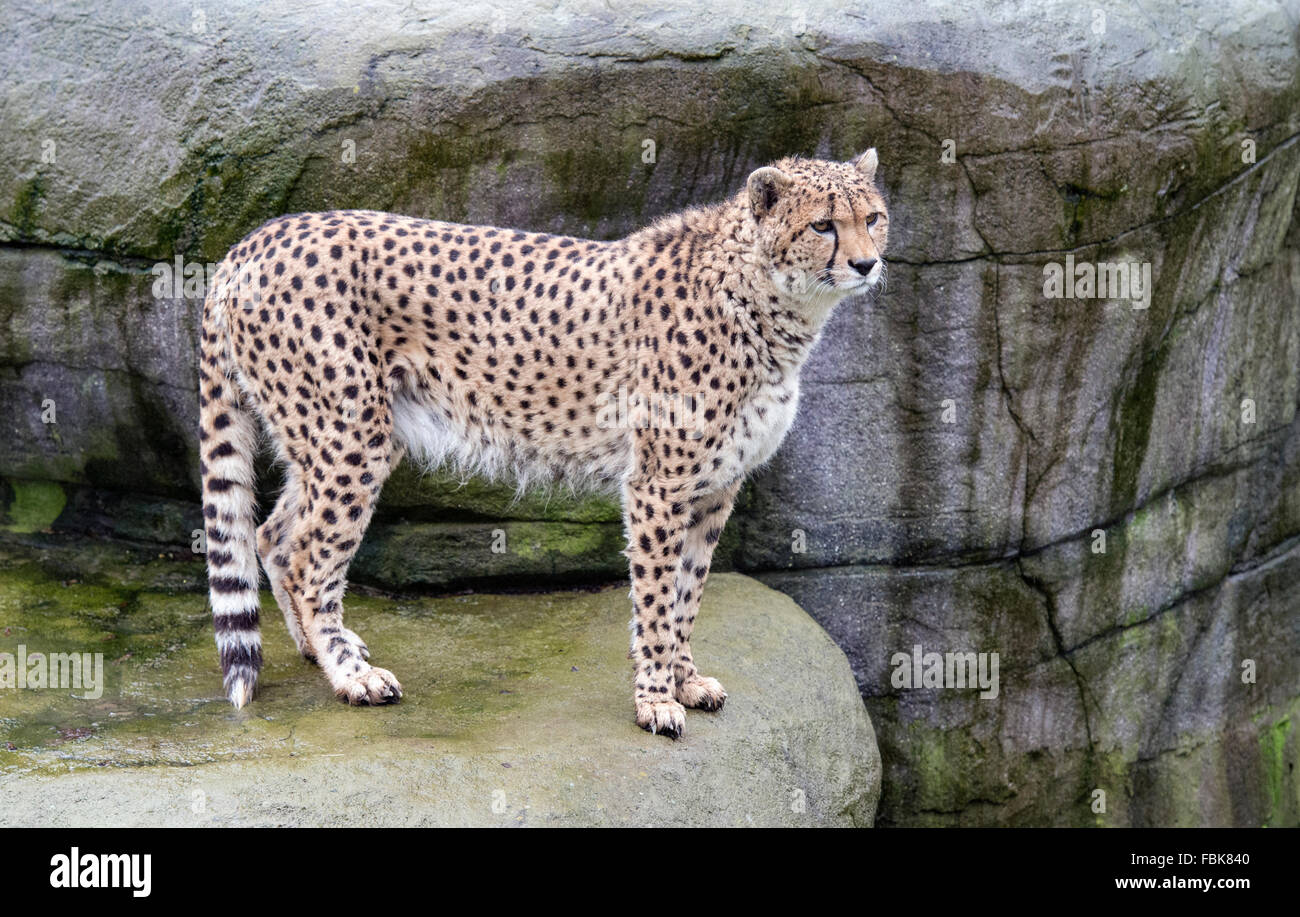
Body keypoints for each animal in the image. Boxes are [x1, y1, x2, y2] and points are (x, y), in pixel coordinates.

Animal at [199, 149, 889, 738]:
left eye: (873, 219)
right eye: (823, 225)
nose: (866, 264)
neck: (773, 301)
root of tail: (255, 240)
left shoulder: (716, 487)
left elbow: (689, 593)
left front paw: (686, 681)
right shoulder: (660, 483)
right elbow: (657, 597)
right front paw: (655, 699)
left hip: (336, 436)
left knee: (273, 535)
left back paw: (319, 652)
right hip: (350, 435)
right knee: (309, 556)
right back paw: (350, 675)